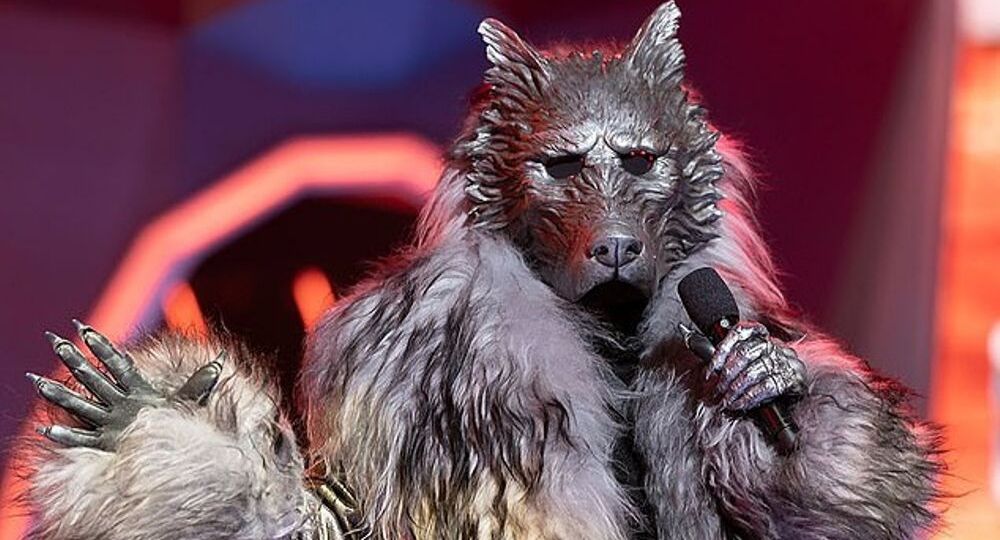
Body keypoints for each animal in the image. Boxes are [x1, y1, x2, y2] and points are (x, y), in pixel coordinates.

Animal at [24, 3, 942, 539]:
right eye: (562, 166)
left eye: (640, 160)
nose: (616, 247)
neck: (601, 327)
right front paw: (142, 420)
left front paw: (769, 384)